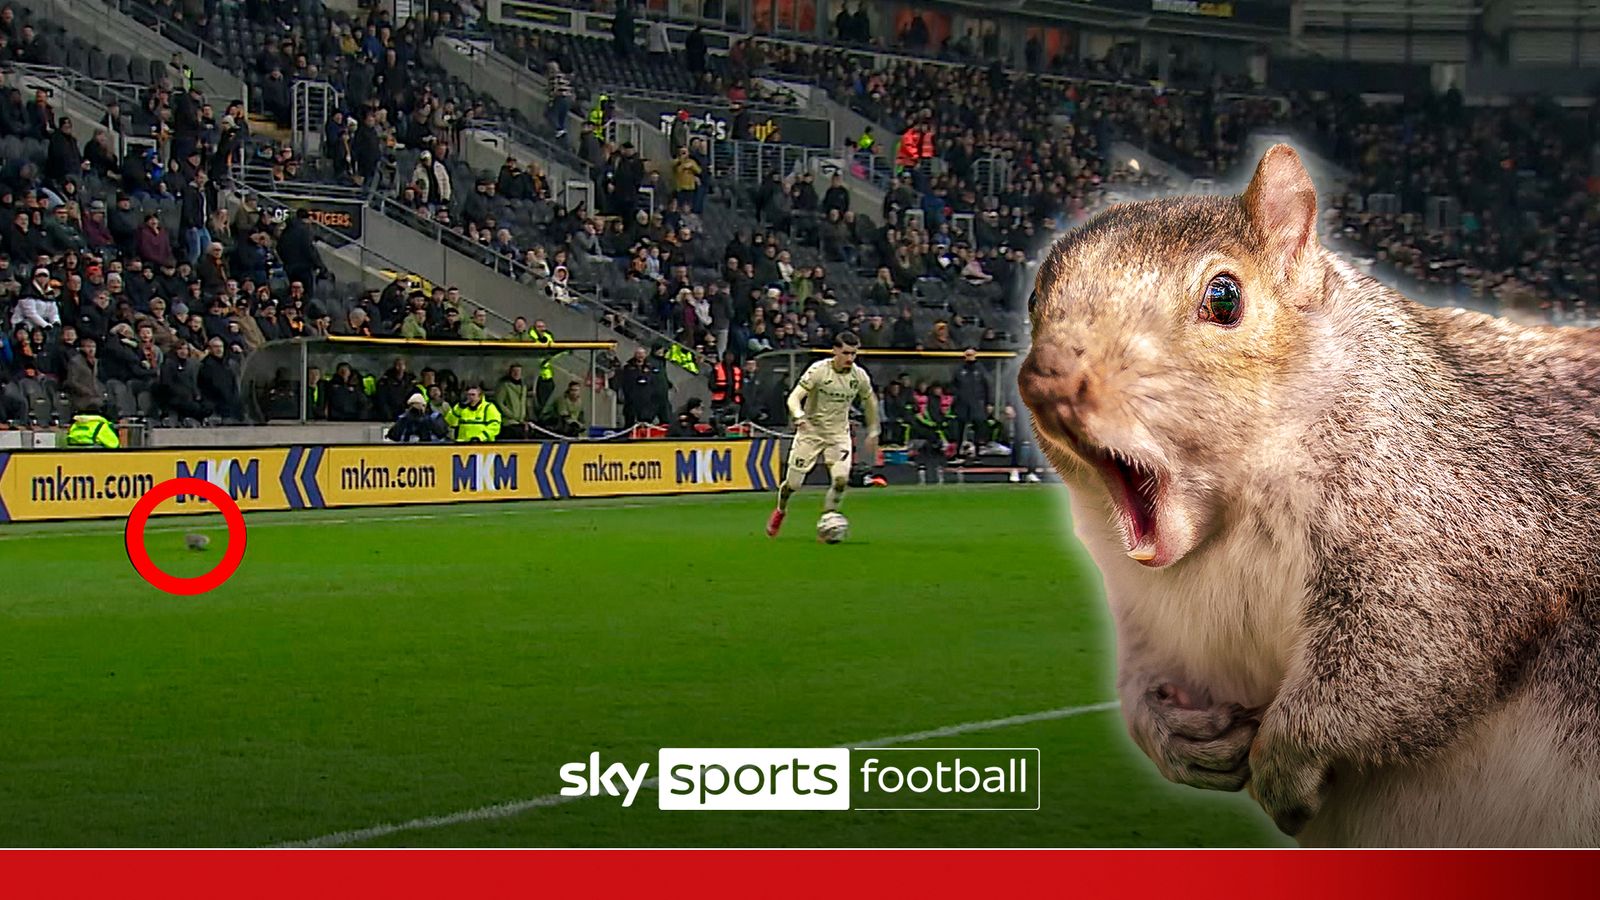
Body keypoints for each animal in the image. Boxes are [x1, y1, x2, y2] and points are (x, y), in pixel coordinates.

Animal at [1018, 143, 1600, 847]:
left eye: (1224, 297)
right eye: (1032, 299)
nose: (1048, 378)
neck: (1227, 530)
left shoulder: (1451, 519)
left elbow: (1411, 654)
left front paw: (1283, 762)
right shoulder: (1145, 609)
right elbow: (1145, 675)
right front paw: (1167, 731)